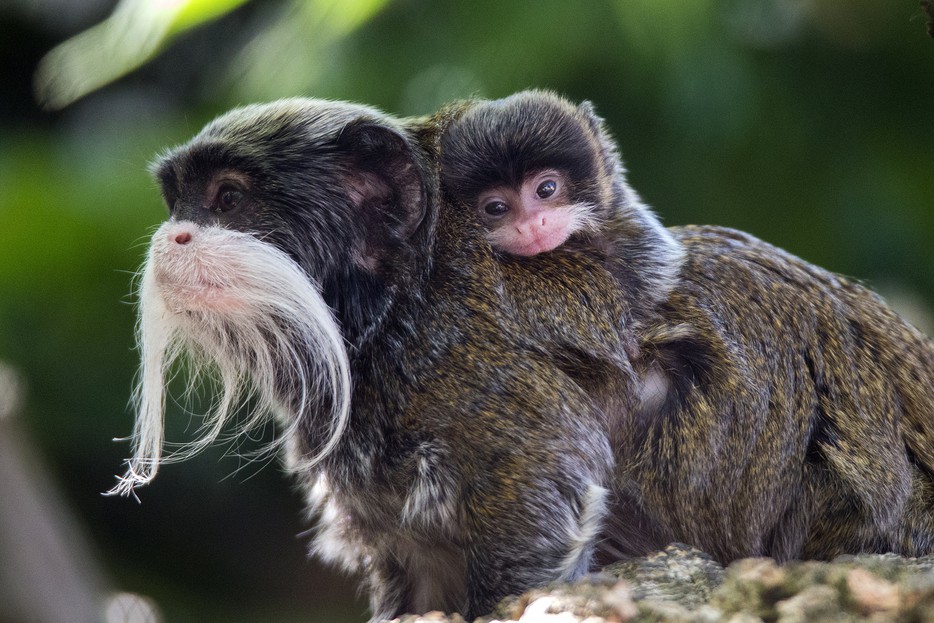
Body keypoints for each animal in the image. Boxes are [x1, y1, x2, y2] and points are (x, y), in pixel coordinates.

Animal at [111, 95, 934, 623]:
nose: (172, 239)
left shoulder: (466, 363)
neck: (393, 313)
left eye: (227, 198)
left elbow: (543, 492)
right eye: (180, 205)